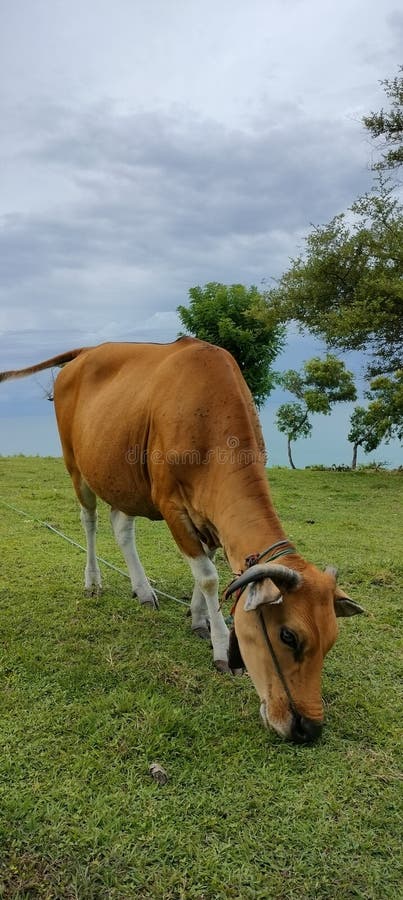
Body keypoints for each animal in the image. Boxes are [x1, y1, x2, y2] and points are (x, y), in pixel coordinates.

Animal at [0, 338, 365, 743]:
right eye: (288, 636)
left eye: (331, 641)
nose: (310, 727)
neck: (207, 418)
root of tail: (87, 351)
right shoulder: (171, 505)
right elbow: (208, 576)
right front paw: (221, 646)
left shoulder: (209, 516)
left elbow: (205, 567)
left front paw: (198, 617)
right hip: (76, 466)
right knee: (90, 521)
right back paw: (93, 581)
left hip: (123, 479)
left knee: (120, 526)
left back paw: (143, 590)